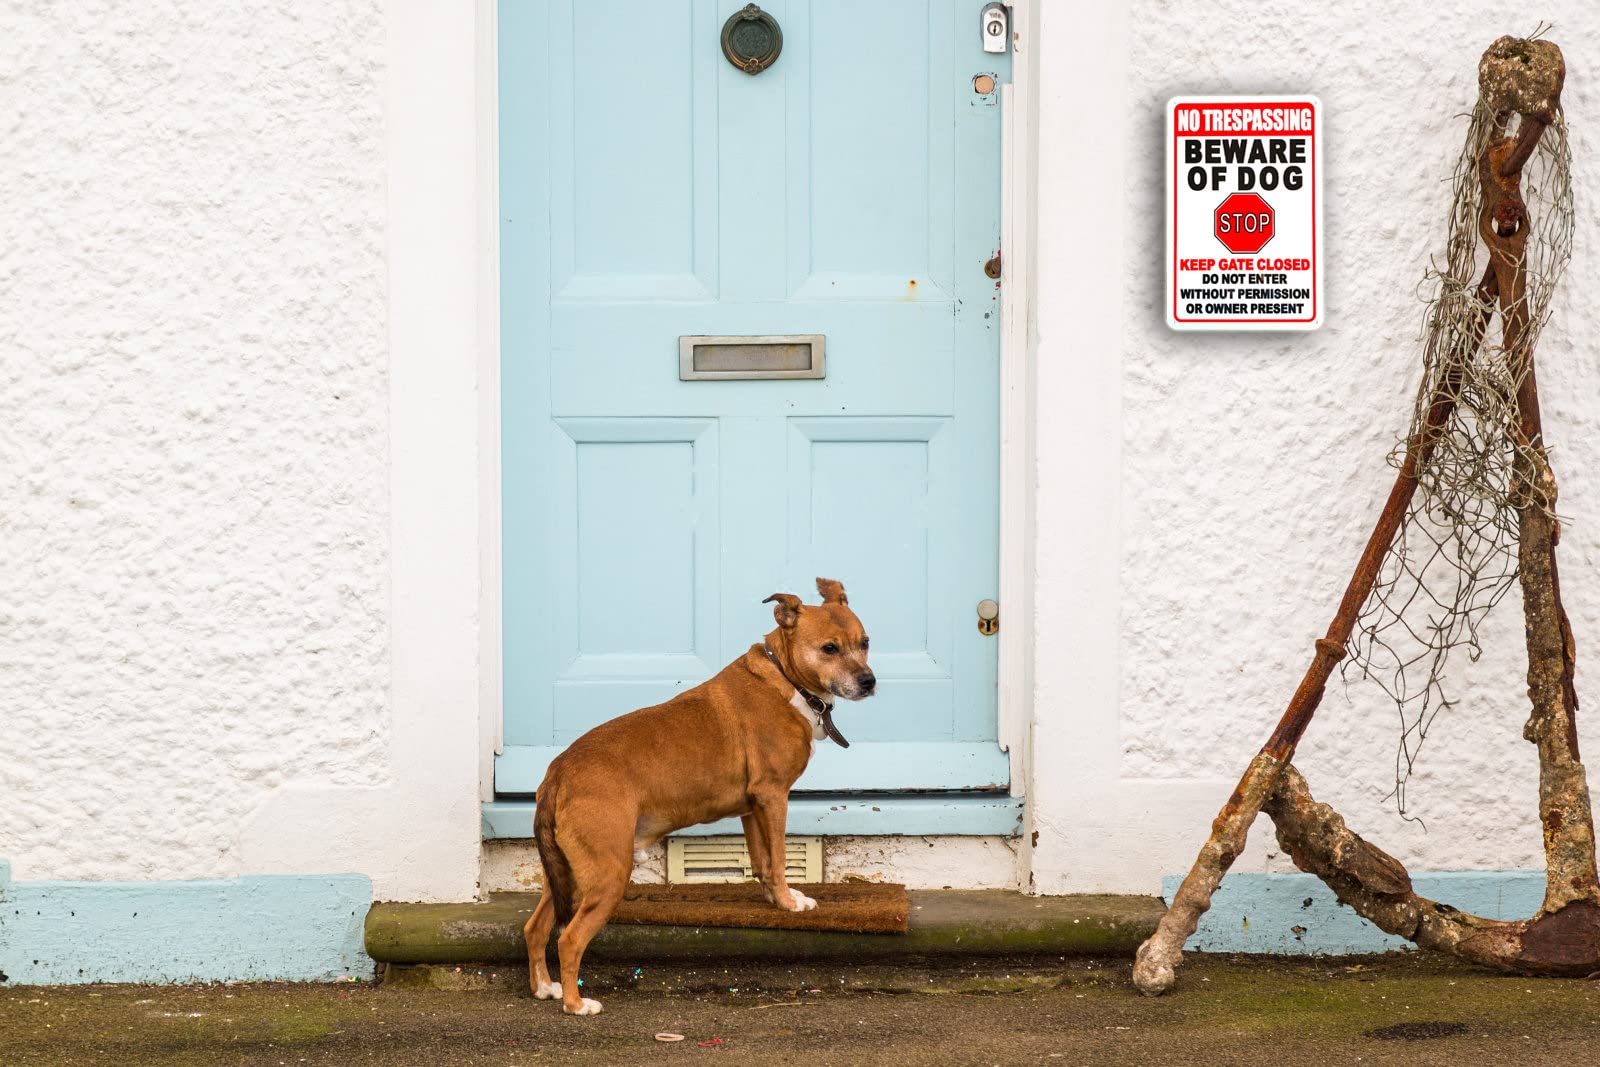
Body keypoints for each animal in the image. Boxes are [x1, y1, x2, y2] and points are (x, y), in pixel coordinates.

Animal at [524, 579, 876, 1017]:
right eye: (829, 648)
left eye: (865, 642)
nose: (869, 682)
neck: (785, 680)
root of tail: (557, 773)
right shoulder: (774, 796)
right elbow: (778, 858)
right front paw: (790, 902)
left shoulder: (753, 807)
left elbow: (763, 861)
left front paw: (775, 900)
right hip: (607, 874)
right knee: (569, 939)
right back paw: (576, 1004)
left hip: (567, 875)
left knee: (536, 928)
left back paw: (545, 987)